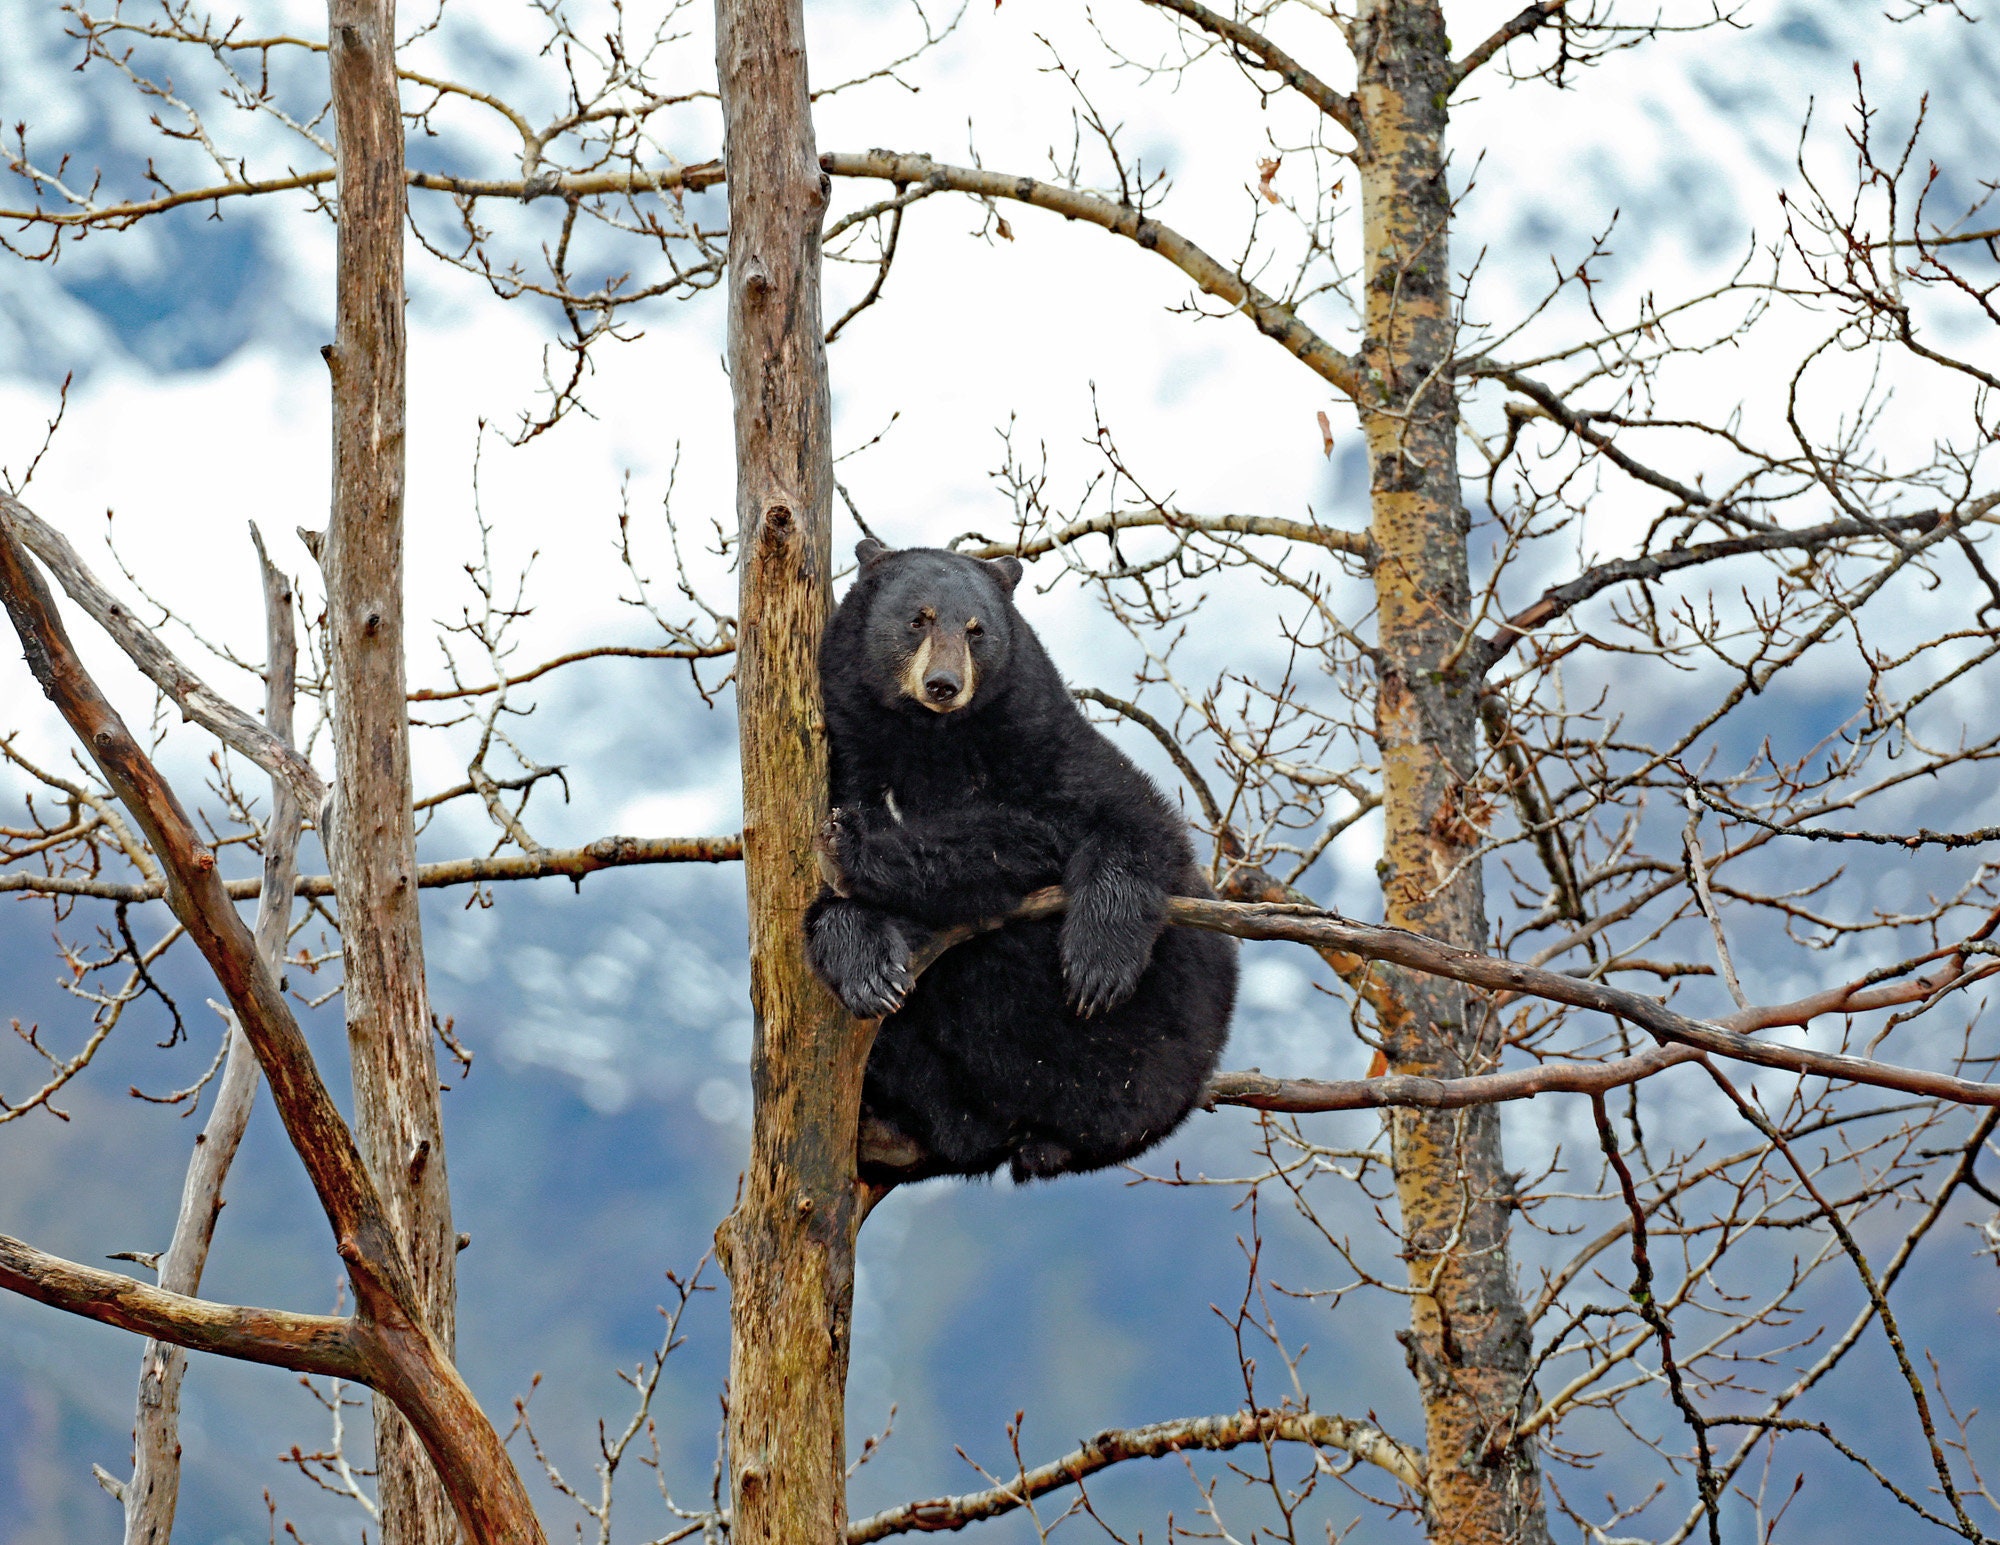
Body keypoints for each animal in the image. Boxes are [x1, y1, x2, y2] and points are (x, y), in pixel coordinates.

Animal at [804, 538, 1238, 1185]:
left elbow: (1129, 822)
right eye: (918, 619)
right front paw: (868, 965)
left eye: (977, 629)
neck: (931, 745)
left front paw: (1097, 967)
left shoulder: (1047, 746)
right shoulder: (849, 762)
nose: (943, 684)